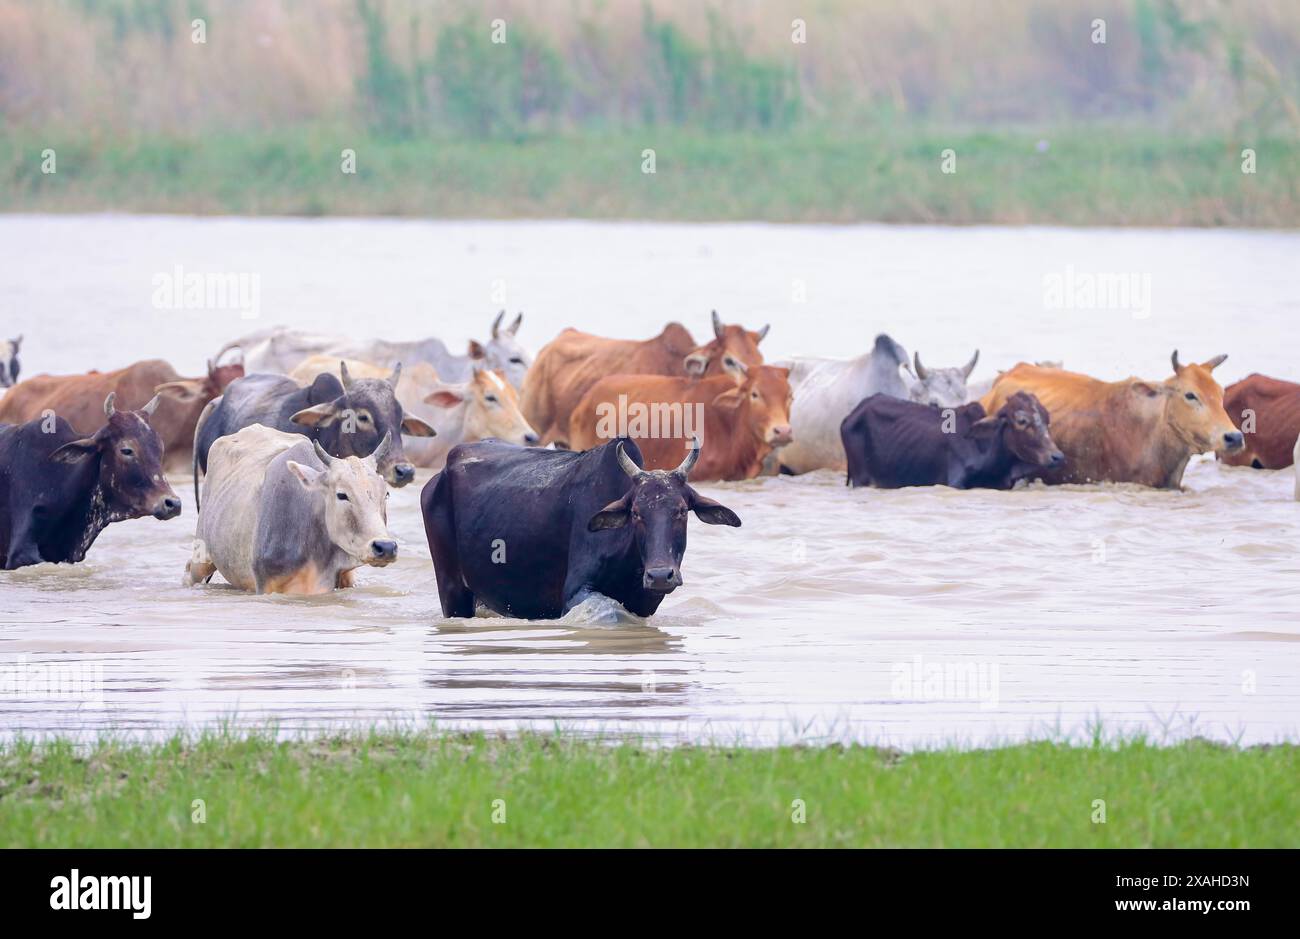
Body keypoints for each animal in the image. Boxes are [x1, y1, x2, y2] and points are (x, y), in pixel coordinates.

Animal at [421, 437, 741, 619]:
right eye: (636, 513)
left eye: (682, 511)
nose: (661, 575)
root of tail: (438, 477)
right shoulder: (575, 592)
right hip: (451, 589)